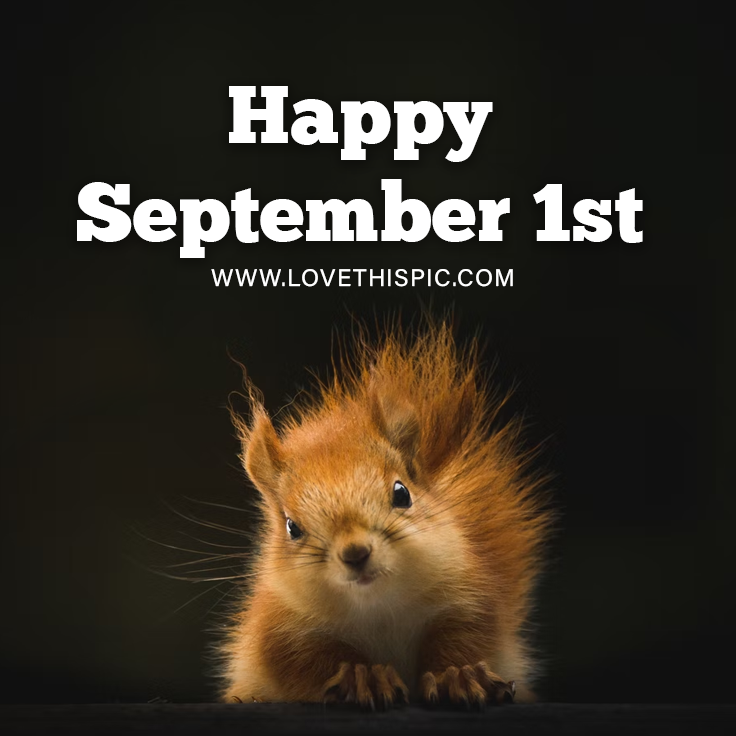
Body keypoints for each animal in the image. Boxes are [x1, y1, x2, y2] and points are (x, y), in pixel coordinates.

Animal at [219, 321, 551, 707]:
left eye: (402, 493)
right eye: (292, 527)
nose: (355, 553)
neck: (378, 607)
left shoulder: (468, 596)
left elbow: (465, 638)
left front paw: (458, 675)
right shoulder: (280, 629)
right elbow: (308, 660)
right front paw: (363, 677)